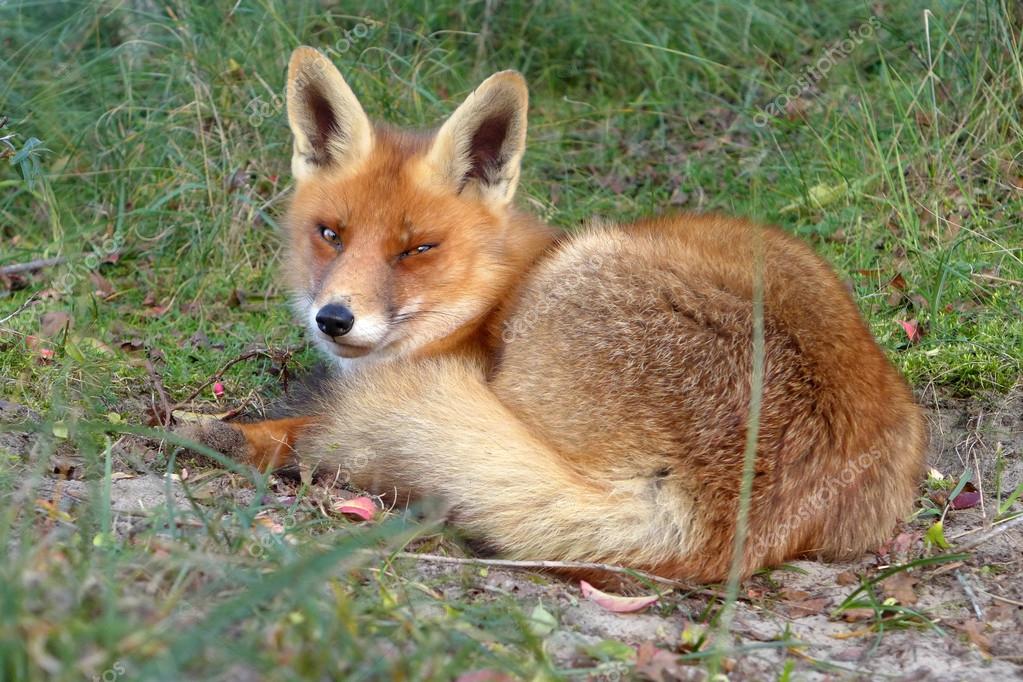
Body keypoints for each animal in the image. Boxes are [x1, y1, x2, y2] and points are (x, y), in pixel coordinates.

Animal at [182, 46, 926, 583]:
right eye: (330, 235)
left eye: (417, 249)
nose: (334, 320)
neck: (487, 297)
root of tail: (724, 516)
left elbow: (299, 424)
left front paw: (223, 430)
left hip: (567, 292)